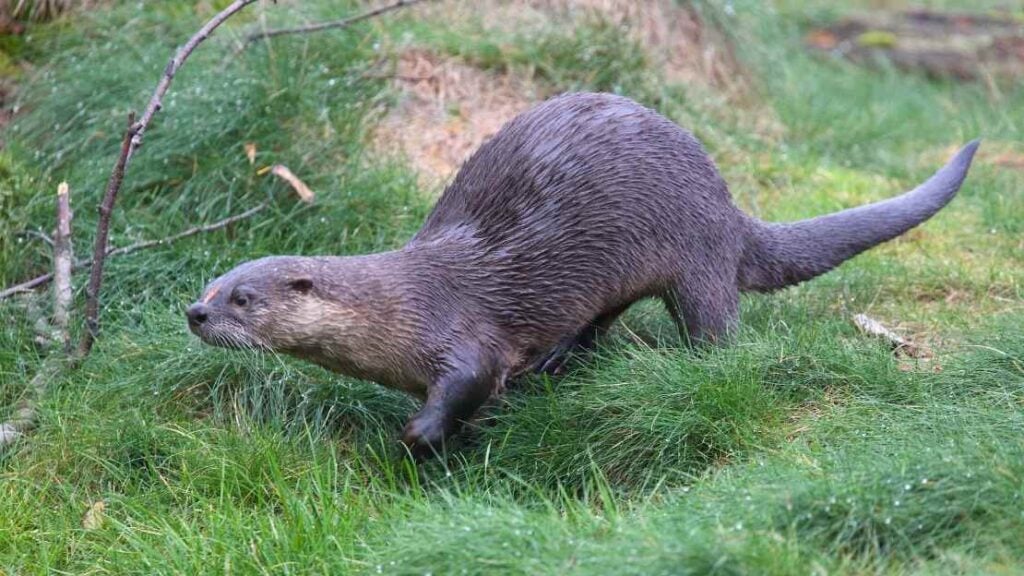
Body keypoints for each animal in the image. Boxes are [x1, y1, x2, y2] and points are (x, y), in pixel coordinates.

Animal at [186, 92, 978, 457]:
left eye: (243, 299)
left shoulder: (460, 334)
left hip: (695, 257)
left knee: (716, 329)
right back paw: (558, 362)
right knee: (596, 322)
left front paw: (418, 436)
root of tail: (727, 207)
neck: (401, 305)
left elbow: (467, 381)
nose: (194, 314)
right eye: (208, 286)